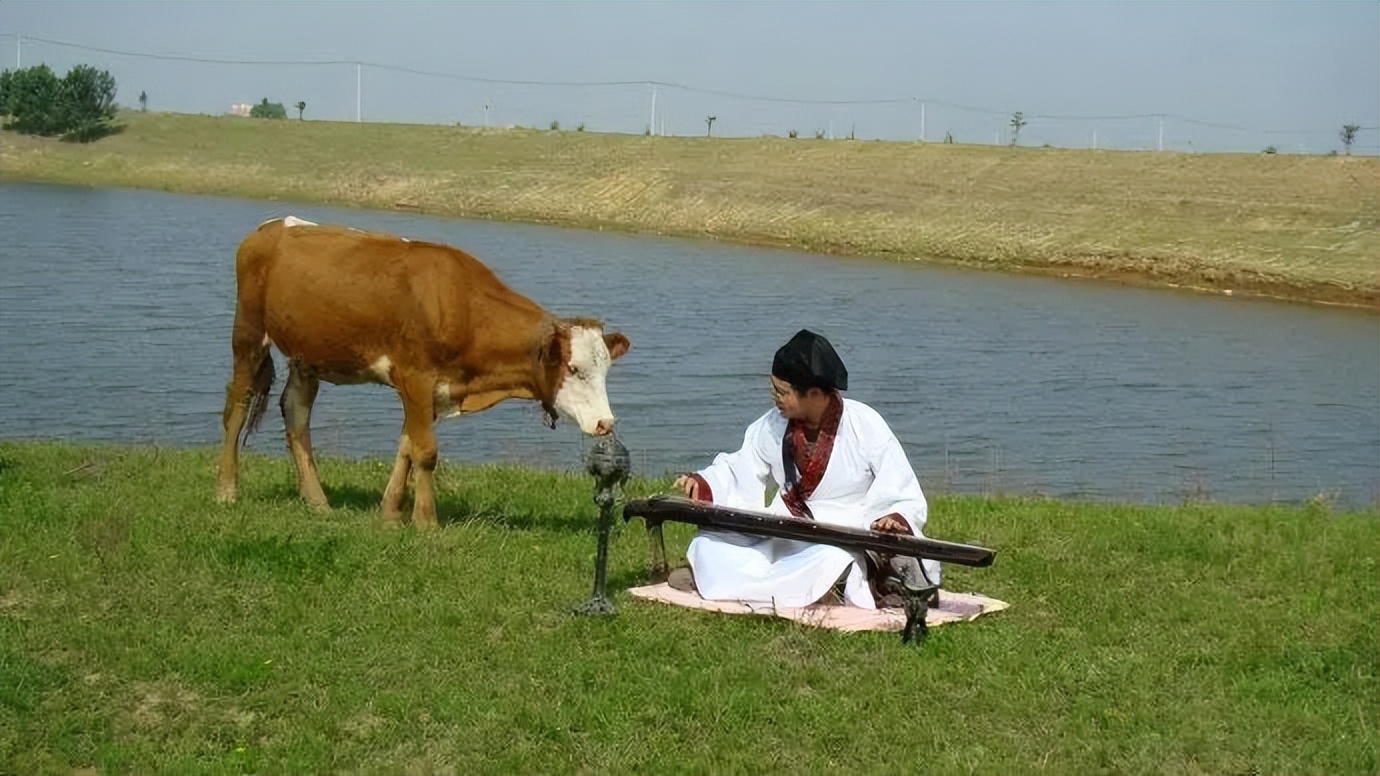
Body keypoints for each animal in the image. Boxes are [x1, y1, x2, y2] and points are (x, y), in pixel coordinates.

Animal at [216, 216, 631, 528]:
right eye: (574, 369)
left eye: (606, 371)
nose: (605, 423)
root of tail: (271, 227)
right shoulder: (415, 376)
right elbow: (426, 451)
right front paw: (426, 521)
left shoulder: (428, 390)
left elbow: (407, 446)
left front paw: (389, 513)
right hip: (248, 333)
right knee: (237, 404)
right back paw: (227, 489)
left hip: (307, 356)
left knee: (296, 412)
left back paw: (317, 500)